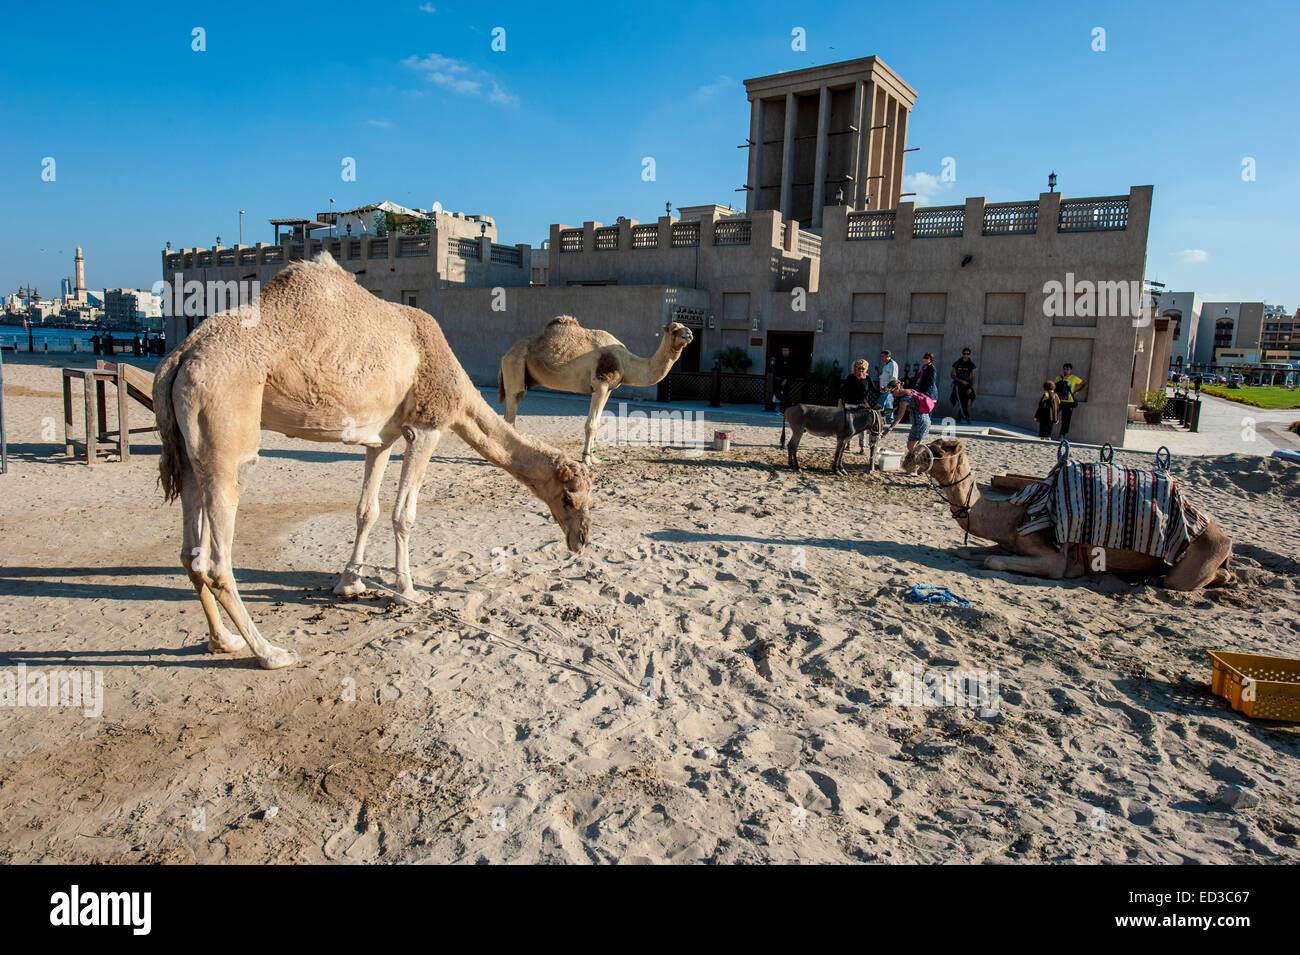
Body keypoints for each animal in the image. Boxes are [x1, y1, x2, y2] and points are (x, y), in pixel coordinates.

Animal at [153, 252, 594, 669]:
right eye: (571, 499)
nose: (581, 540)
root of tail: (177, 358)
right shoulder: (427, 427)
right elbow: (403, 514)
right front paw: (407, 592)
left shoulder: (381, 438)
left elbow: (367, 510)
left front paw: (350, 583)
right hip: (227, 431)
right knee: (218, 558)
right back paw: (270, 653)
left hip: (190, 451)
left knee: (191, 552)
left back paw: (222, 641)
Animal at [497, 315, 694, 464]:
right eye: (674, 329)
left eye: (685, 327)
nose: (689, 334)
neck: (625, 362)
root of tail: (505, 354)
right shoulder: (600, 384)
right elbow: (590, 425)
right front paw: (586, 460)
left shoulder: (609, 389)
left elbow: (597, 423)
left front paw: (594, 458)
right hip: (515, 363)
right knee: (514, 402)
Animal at [901, 438, 1234, 590]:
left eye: (941, 449)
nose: (908, 457)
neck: (1013, 514)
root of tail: (1223, 535)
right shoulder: (1010, 540)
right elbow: (967, 551)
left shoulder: (1055, 558)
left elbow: (991, 560)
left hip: (1198, 557)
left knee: (1193, 578)